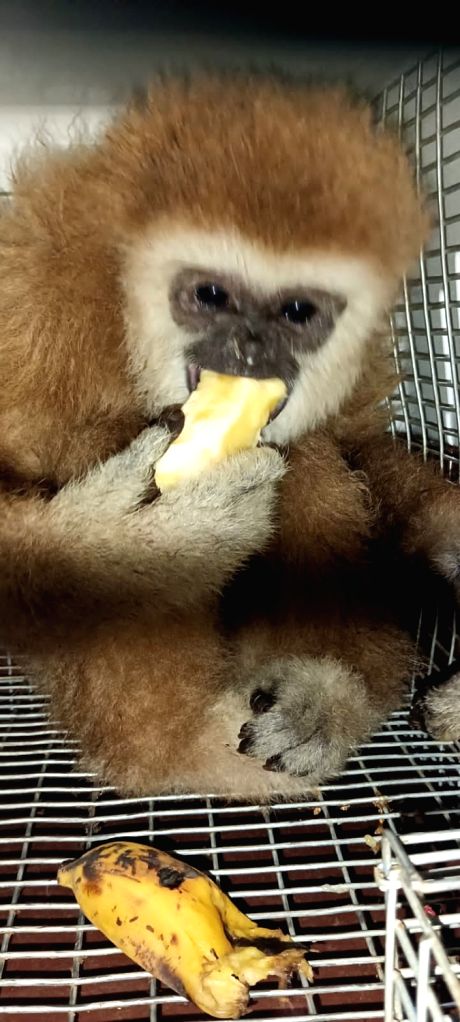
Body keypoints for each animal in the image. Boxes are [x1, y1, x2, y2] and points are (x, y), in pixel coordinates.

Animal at [0, 71, 458, 799]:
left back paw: (326, 696)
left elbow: (357, 448)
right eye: (211, 296)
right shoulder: (32, 303)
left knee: (309, 458)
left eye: (297, 311)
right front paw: (130, 547)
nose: (249, 346)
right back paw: (174, 743)